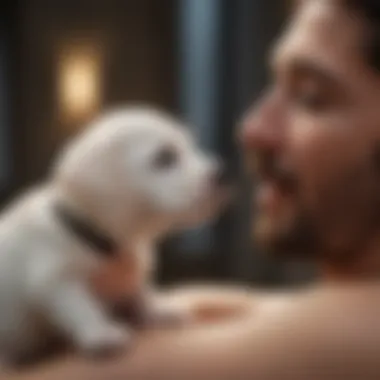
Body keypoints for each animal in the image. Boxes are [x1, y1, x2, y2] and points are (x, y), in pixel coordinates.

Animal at [0, 105, 229, 364]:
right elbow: (80, 305)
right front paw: (101, 332)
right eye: (164, 158)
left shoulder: (129, 274)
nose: (223, 173)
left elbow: (140, 290)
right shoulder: (54, 281)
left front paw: (157, 308)